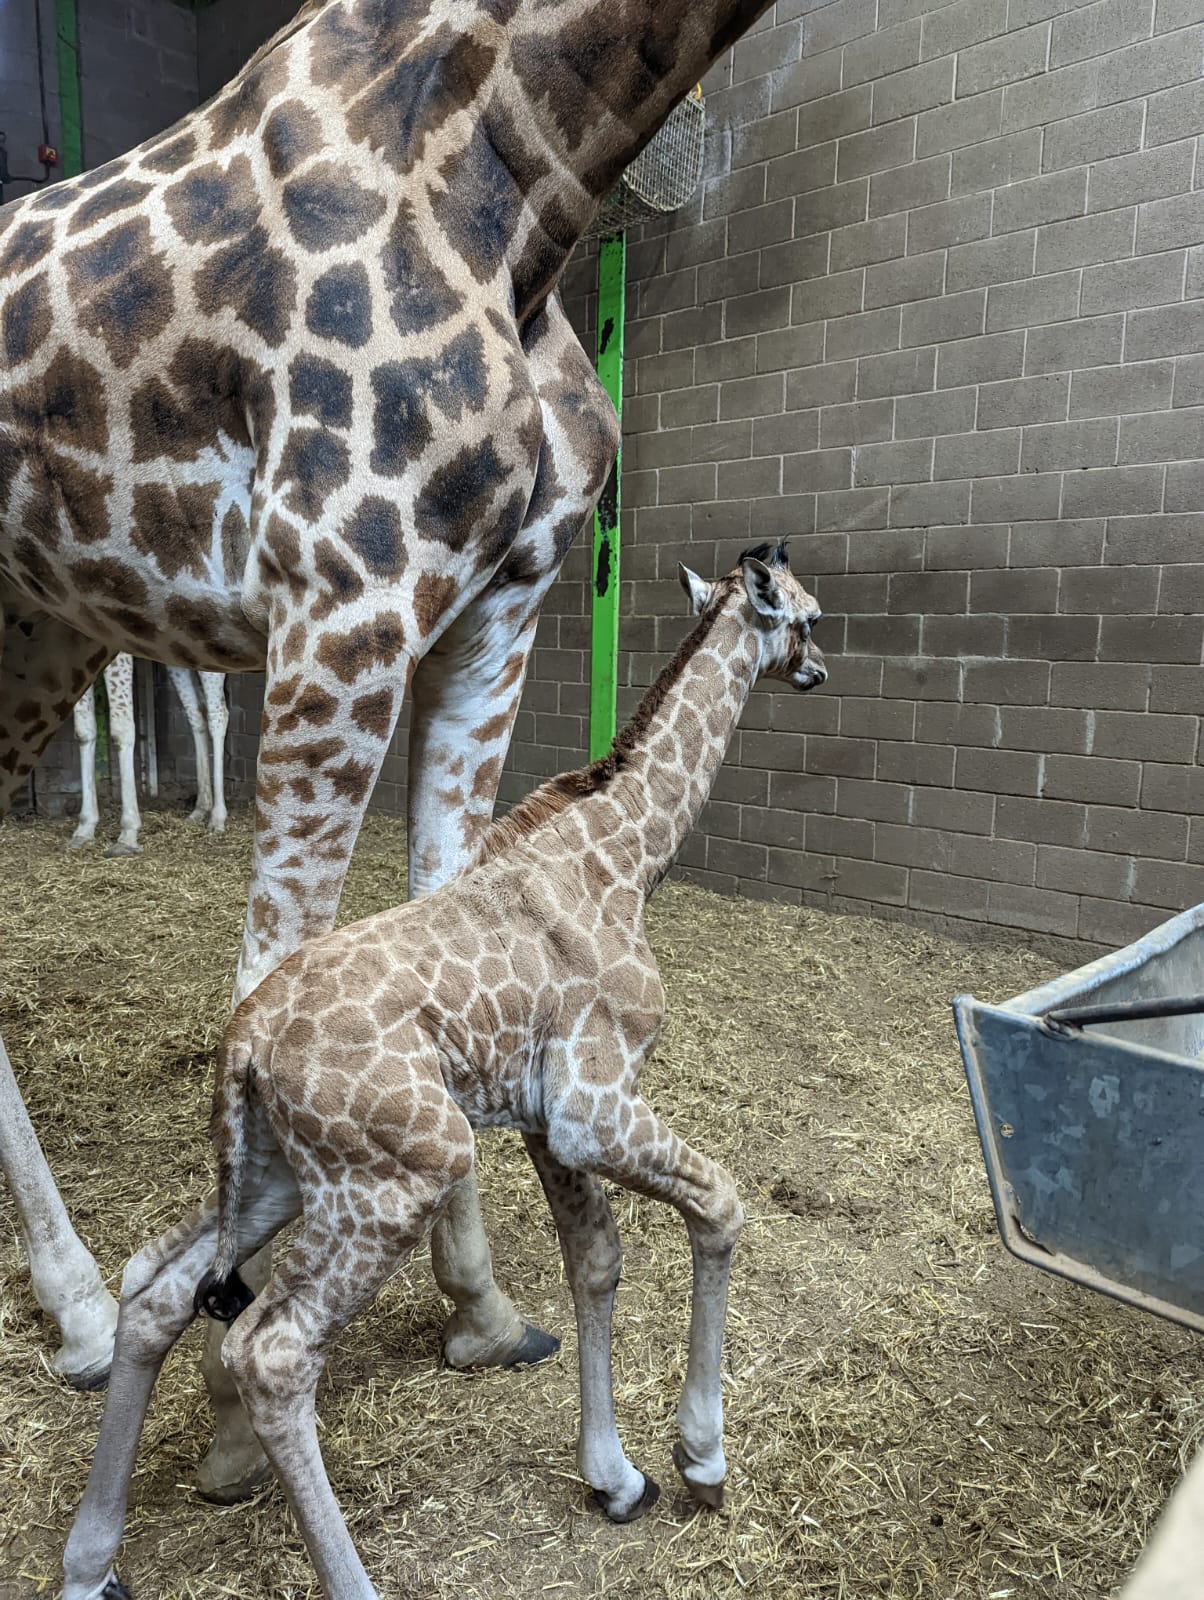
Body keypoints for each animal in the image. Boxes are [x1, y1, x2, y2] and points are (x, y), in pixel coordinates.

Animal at [69, 659, 229, 852]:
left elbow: (121, 729)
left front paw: (128, 833)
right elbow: (83, 730)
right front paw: (84, 828)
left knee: (218, 715)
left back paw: (217, 818)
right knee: (196, 713)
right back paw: (201, 809)